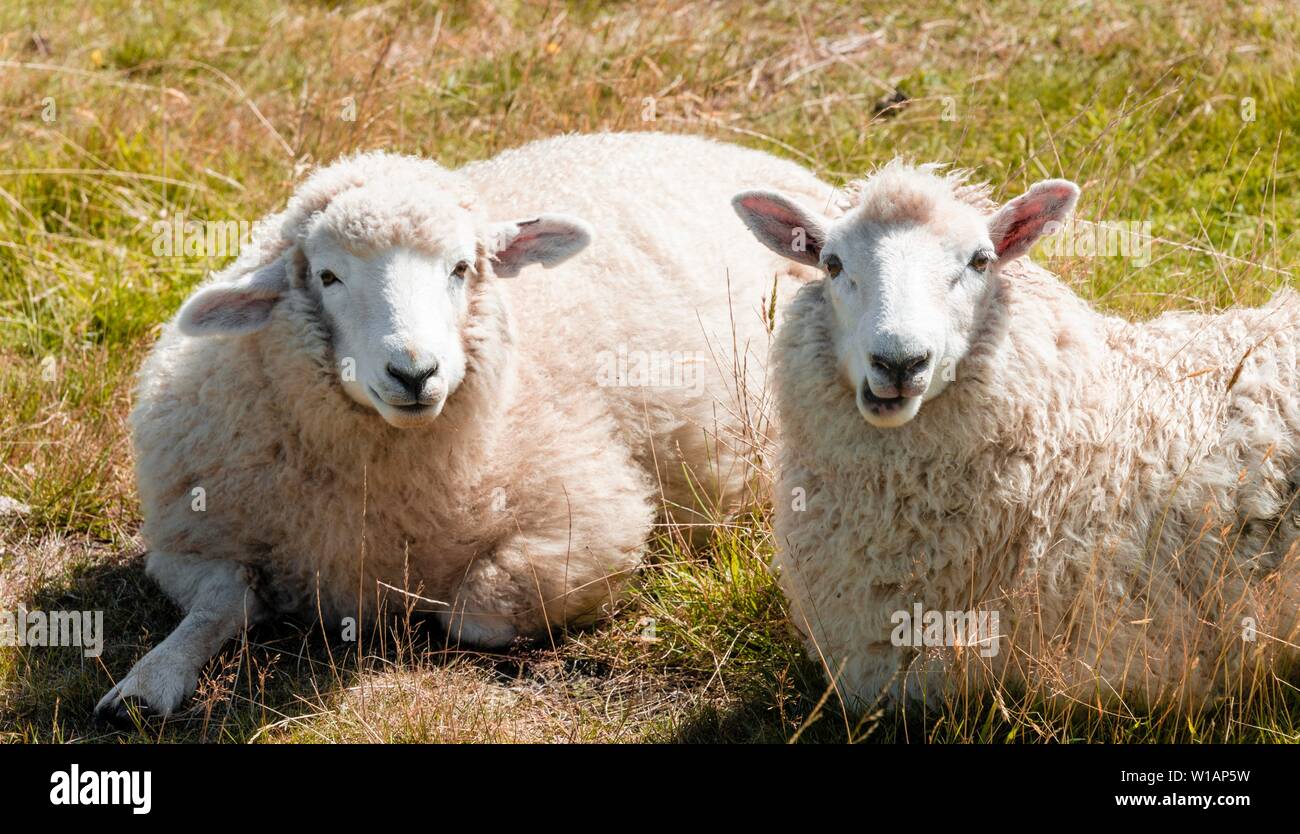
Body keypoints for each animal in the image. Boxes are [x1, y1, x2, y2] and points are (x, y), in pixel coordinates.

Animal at [97, 132, 836, 722]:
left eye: (461, 268)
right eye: (328, 276)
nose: (414, 372)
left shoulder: (590, 524)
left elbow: (472, 611)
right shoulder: (189, 541)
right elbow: (224, 603)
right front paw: (148, 680)